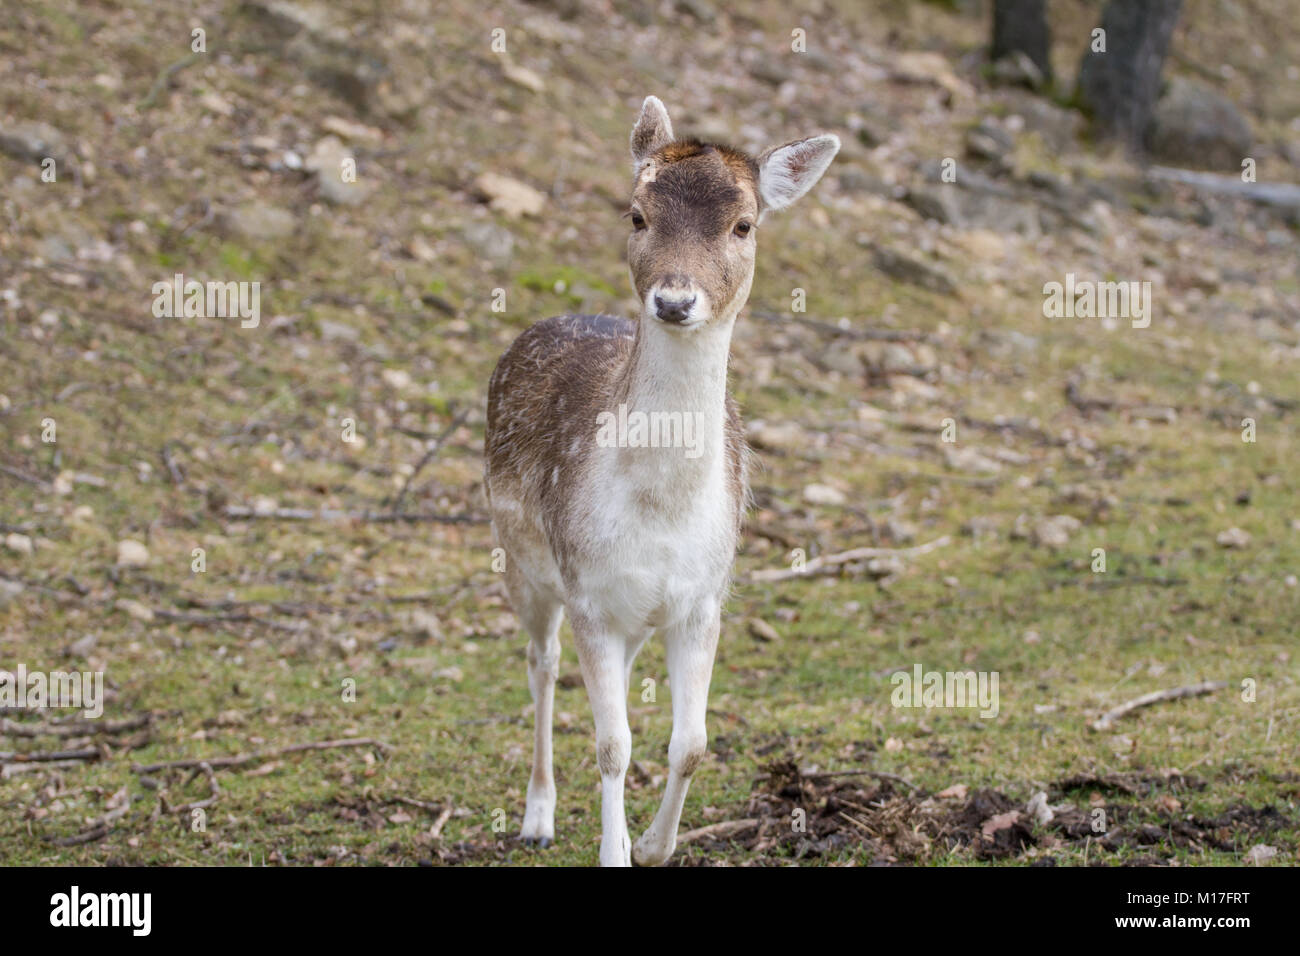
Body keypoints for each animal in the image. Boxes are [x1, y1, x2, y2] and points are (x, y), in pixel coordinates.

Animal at [484, 96, 839, 866]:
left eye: (744, 224)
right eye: (637, 215)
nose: (675, 301)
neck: (662, 511)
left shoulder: (702, 599)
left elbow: (693, 743)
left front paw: (651, 845)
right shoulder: (588, 592)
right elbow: (612, 746)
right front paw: (614, 853)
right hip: (524, 563)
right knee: (540, 662)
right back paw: (538, 814)